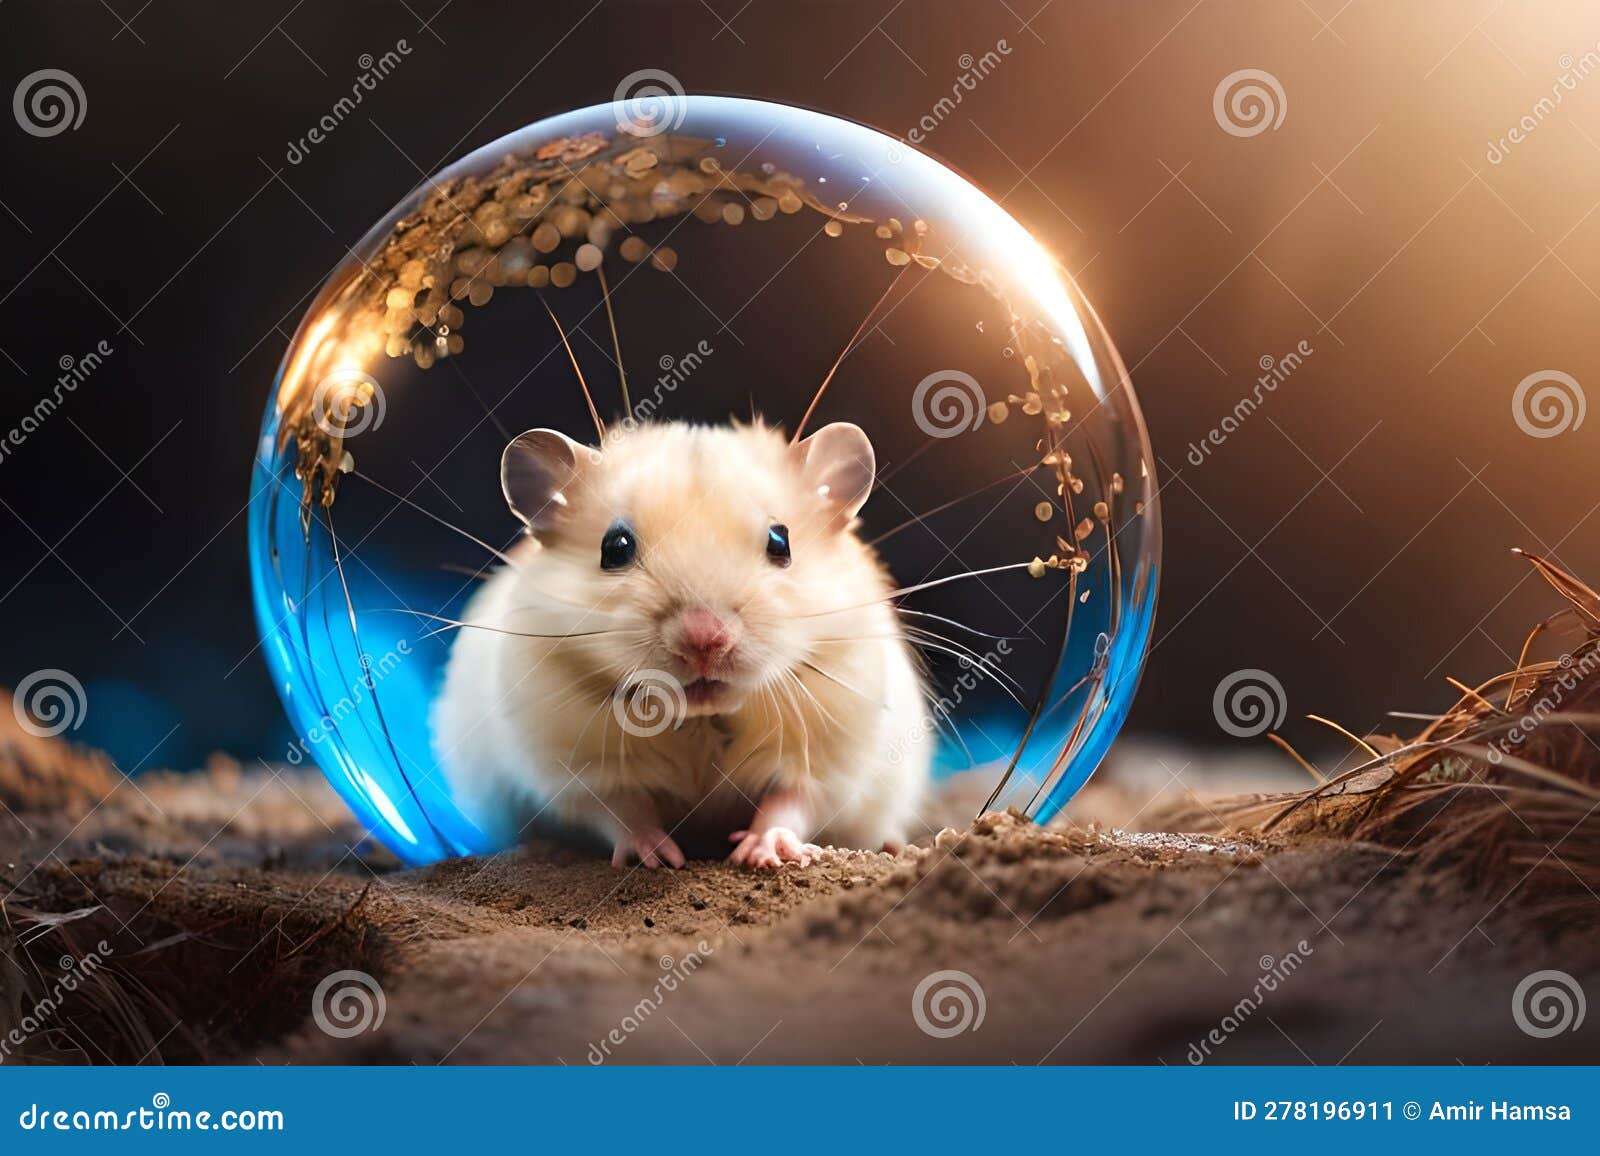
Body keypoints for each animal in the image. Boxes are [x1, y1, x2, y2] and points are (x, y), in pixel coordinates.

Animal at [432, 419, 932, 869]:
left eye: (780, 541)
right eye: (615, 547)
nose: (705, 640)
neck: (701, 719)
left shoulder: (830, 762)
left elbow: (790, 802)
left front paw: (758, 854)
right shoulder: (575, 771)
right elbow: (620, 810)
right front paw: (658, 857)